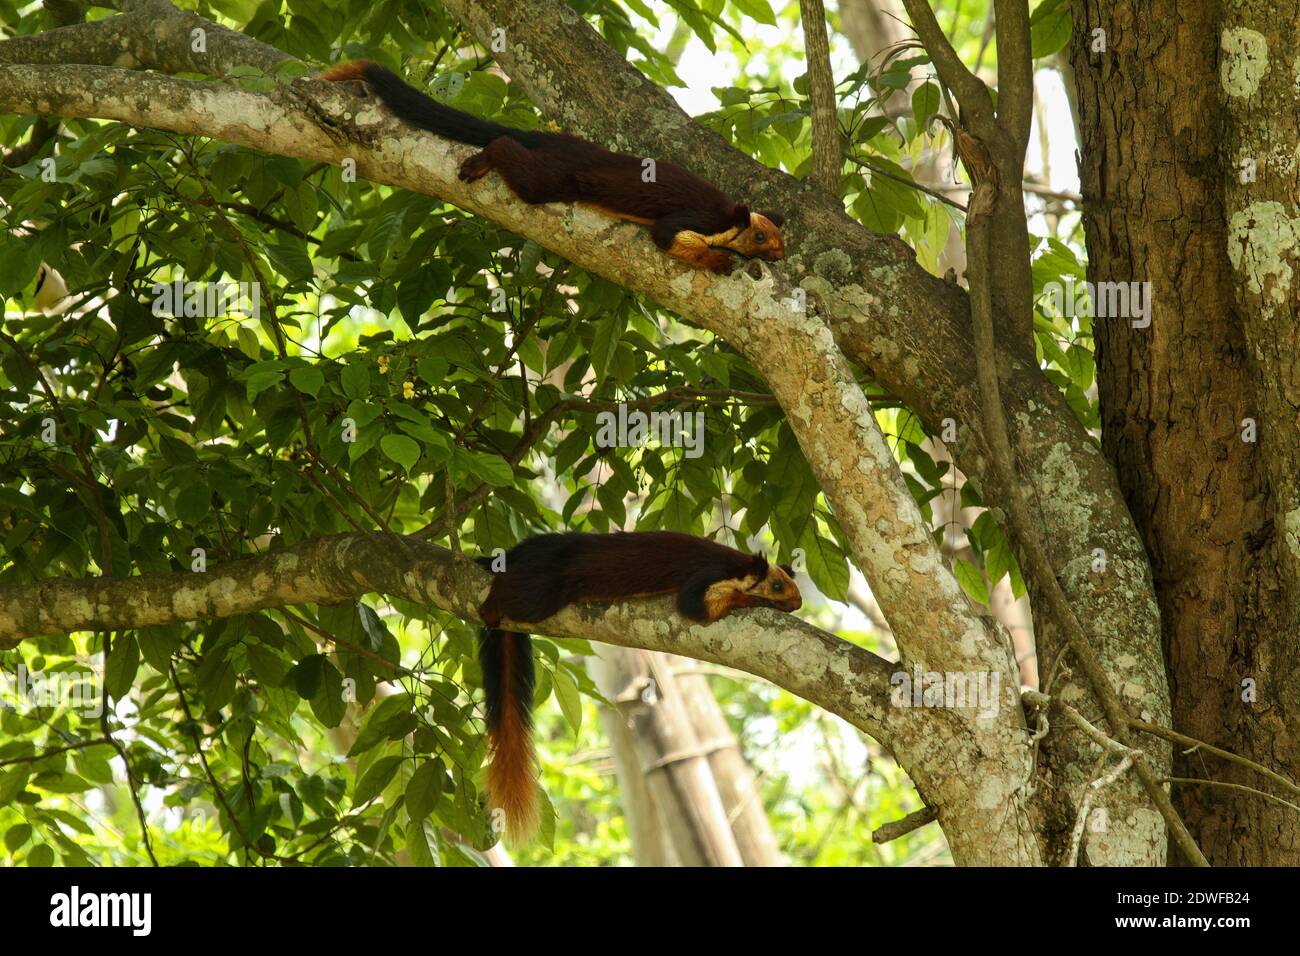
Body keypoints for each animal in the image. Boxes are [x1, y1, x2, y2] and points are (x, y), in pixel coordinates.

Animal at [322, 61, 786, 274]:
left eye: (780, 237)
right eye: (761, 236)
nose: (781, 254)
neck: (729, 217)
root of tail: (551, 139)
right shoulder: (698, 218)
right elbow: (668, 236)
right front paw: (717, 261)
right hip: (553, 178)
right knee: (513, 156)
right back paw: (482, 159)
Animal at [475, 530, 801, 844]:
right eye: (776, 586)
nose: (797, 603)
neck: (737, 567)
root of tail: (523, 550)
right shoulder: (705, 577)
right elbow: (694, 605)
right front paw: (756, 600)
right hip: (539, 593)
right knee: (509, 595)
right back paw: (489, 605)